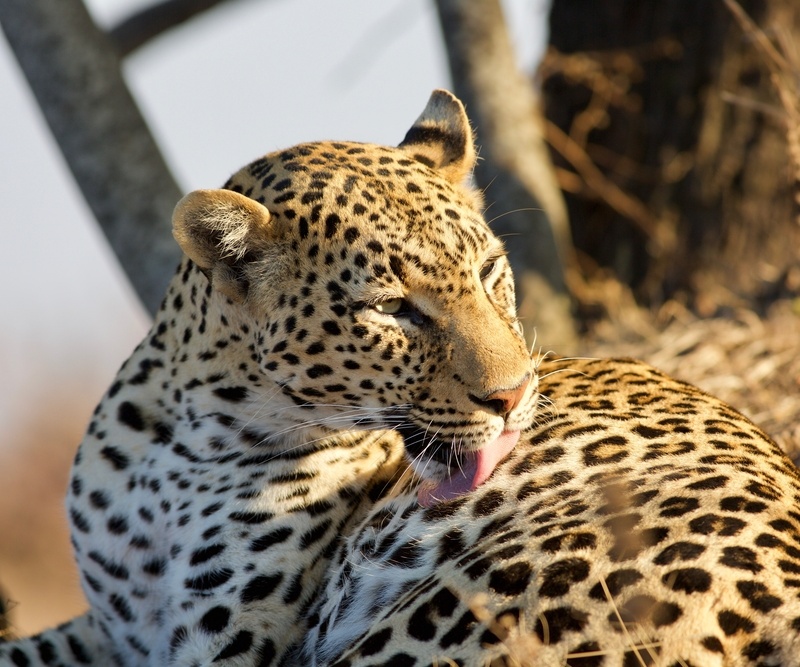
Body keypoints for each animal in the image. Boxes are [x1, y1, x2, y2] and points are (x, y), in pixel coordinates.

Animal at [0, 89, 539, 666]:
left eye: (487, 270)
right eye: (391, 308)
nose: (512, 396)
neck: (186, 445)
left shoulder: (222, 639)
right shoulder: (108, 629)